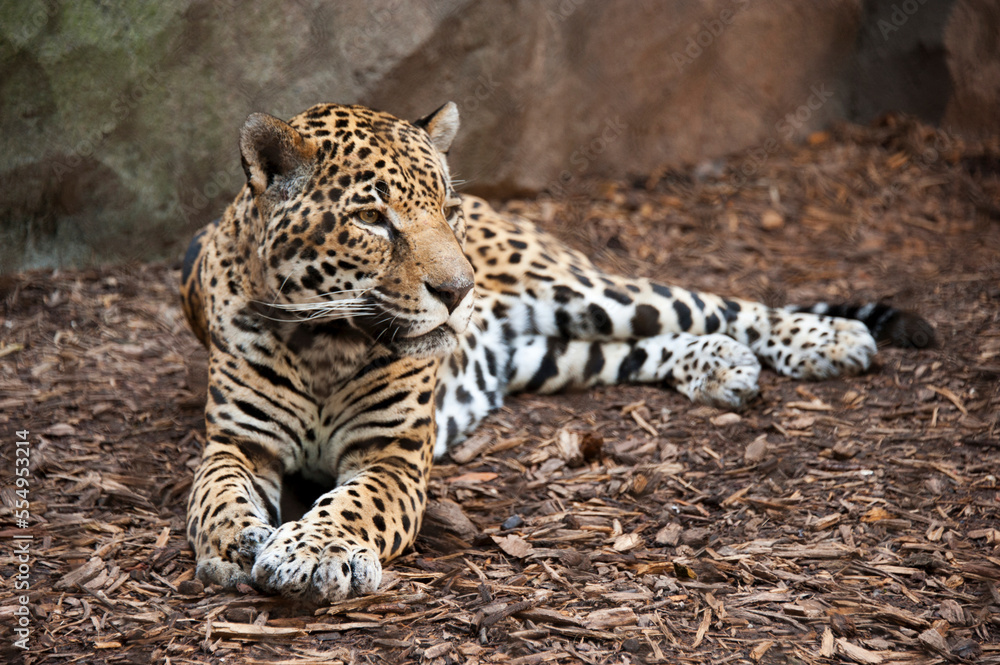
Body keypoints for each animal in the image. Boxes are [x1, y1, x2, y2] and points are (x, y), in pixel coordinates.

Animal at [179, 101, 933, 603]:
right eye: (371, 218)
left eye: (444, 209)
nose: (459, 290)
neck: (326, 343)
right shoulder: (237, 444)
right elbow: (214, 495)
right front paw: (233, 544)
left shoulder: (391, 455)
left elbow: (354, 503)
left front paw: (312, 550)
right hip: (546, 353)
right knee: (640, 345)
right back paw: (719, 366)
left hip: (583, 289)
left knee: (718, 305)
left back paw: (828, 340)